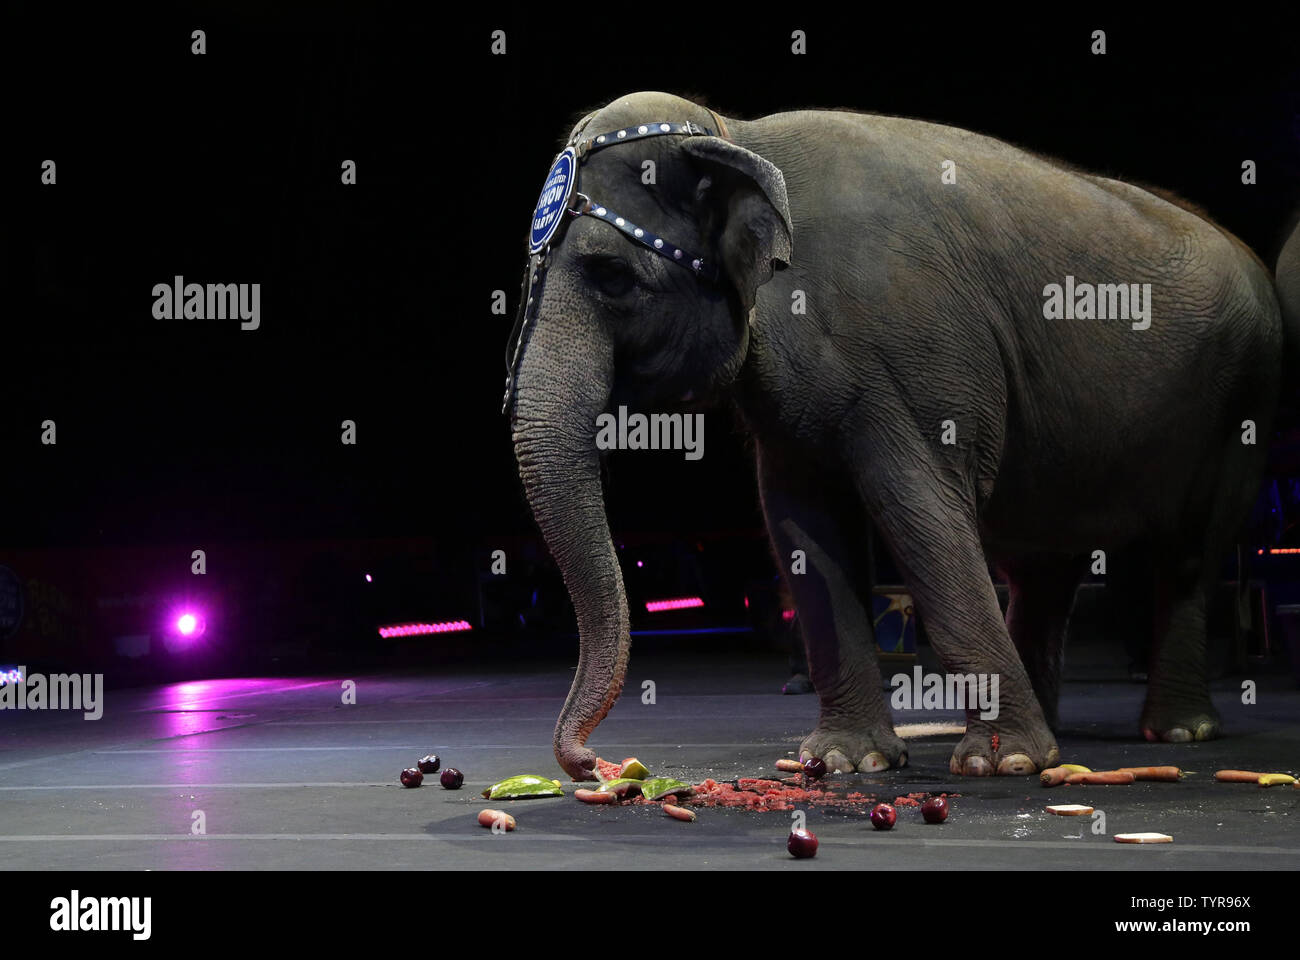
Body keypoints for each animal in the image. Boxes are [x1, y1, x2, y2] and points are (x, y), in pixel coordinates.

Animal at [505, 91, 1299, 780]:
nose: (592, 765)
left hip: (1246, 400)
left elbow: (920, 512)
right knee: (1043, 567)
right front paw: (846, 761)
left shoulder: (915, 357)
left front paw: (1002, 764)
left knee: (1188, 556)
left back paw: (1172, 733)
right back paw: (1051, 728)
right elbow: (799, 524)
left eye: (611, 277)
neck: (737, 133)